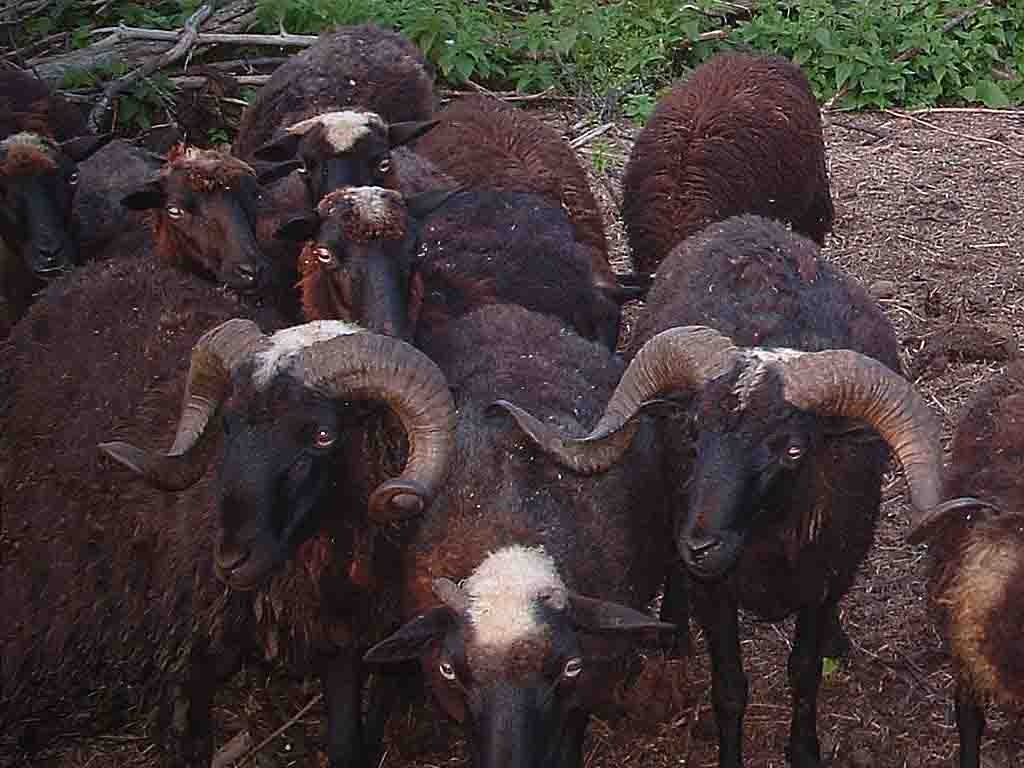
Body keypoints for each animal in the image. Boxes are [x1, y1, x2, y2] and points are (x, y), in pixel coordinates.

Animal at [2, 254, 456, 766]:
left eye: (323, 435)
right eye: (227, 424)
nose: (232, 561)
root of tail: (83, 274)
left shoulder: (341, 636)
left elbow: (345, 739)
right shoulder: (188, 649)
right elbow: (188, 740)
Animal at [491, 215, 945, 767]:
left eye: (794, 449)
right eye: (692, 432)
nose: (701, 544)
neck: (766, 542)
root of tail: (748, 221)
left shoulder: (822, 576)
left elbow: (805, 673)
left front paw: (805, 748)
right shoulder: (716, 591)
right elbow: (729, 687)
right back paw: (673, 629)